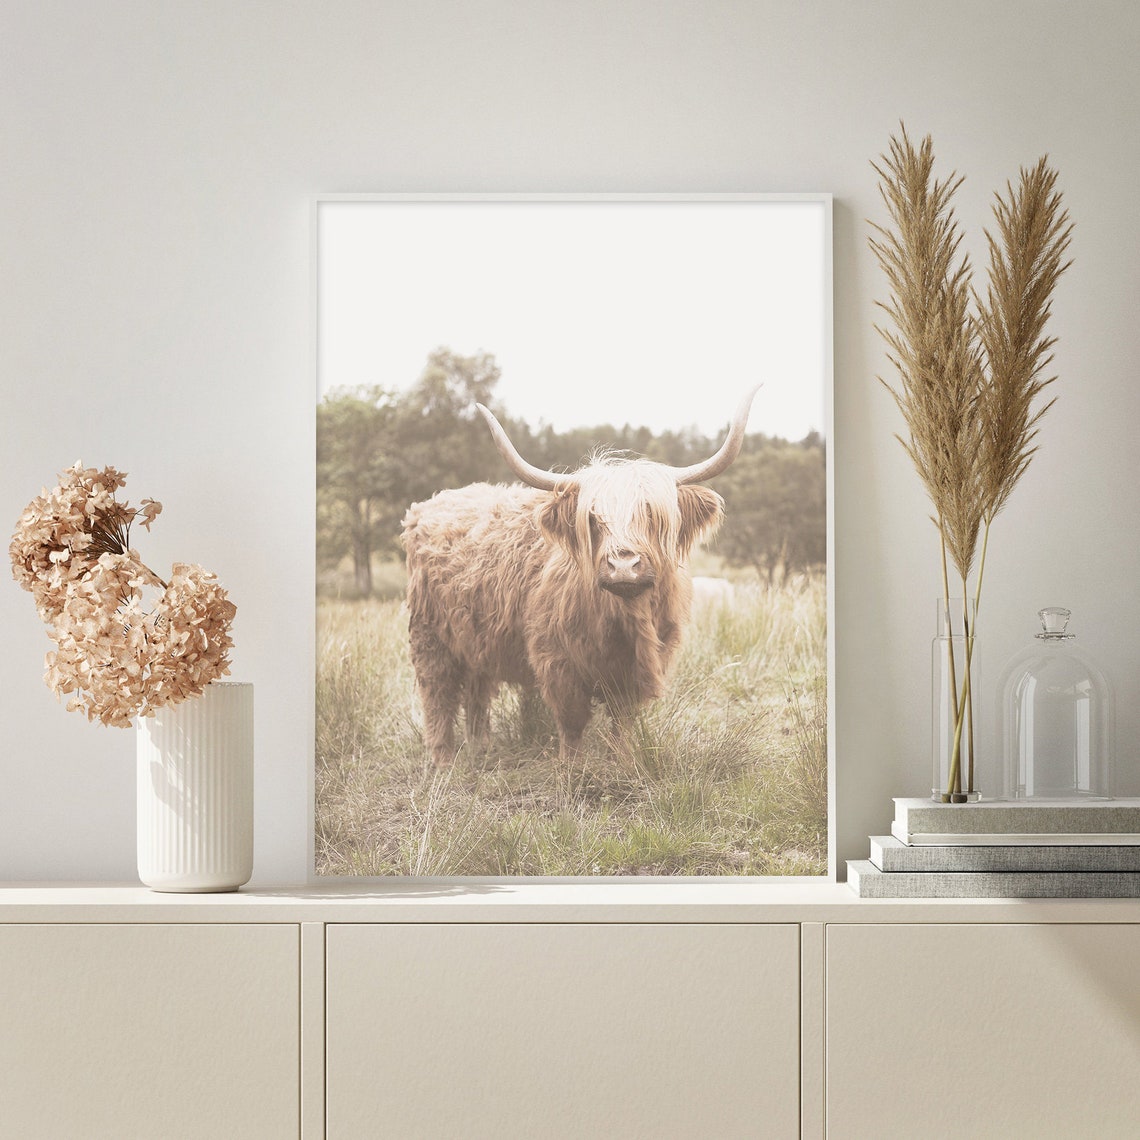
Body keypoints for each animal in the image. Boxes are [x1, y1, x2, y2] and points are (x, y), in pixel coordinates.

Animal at [401, 388, 757, 765]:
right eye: (593, 518)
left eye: (651, 515)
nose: (623, 565)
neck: (624, 622)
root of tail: (430, 504)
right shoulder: (557, 662)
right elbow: (572, 721)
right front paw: (572, 768)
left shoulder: (641, 666)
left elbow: (623, 721)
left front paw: (624, 762)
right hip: (429, 636)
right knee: (437, 694)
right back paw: (442, 759)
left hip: (476, 639)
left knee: (477, 692)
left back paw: (481, 747)